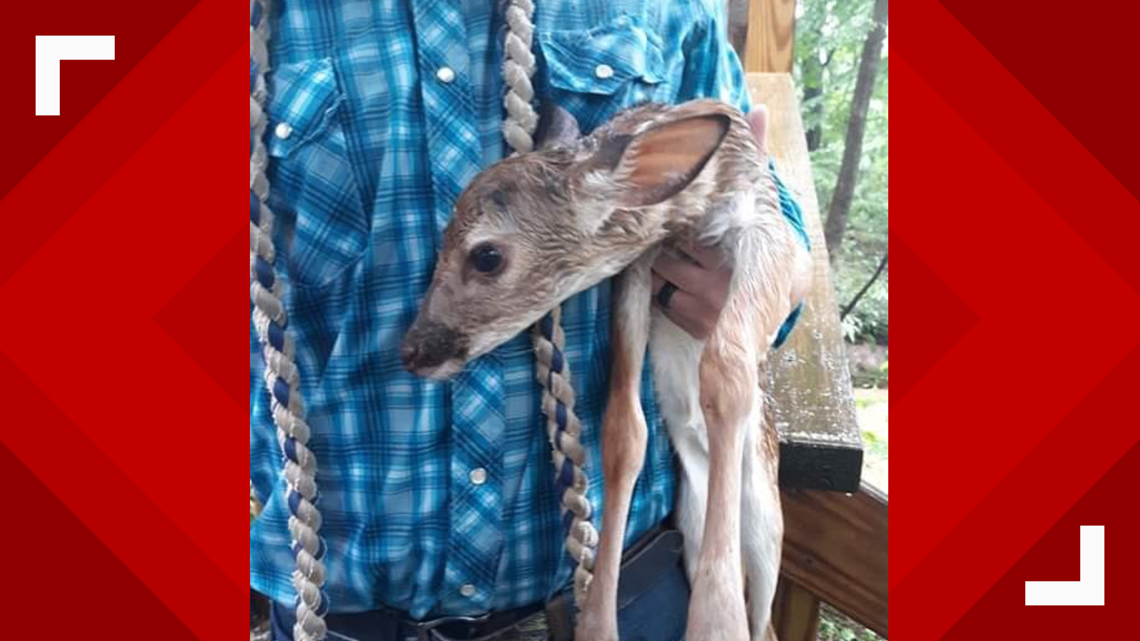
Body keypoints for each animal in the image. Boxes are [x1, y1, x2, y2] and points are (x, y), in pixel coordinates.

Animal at [401, 98, 812, 641]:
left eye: (486, 256)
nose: (412, 349)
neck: (690, 213)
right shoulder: (637, 268)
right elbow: (623, 428)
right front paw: (597, 622)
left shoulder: (767, 224)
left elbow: (726, 365)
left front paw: (717, 624)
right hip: (691, 512)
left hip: (767, 518)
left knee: (764, 615)